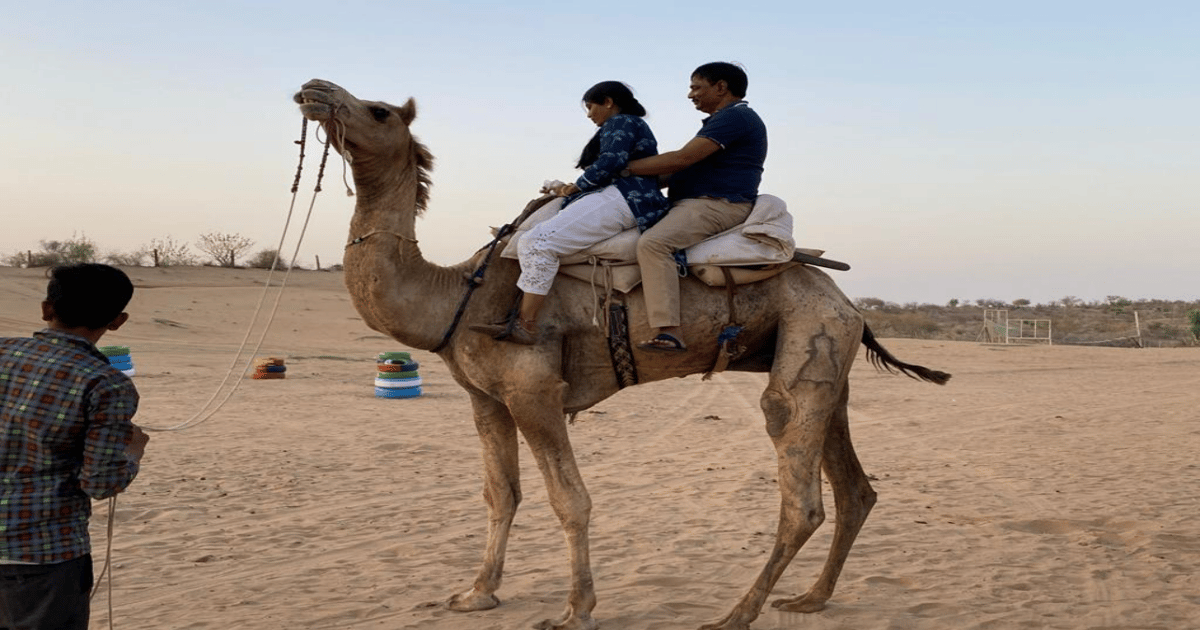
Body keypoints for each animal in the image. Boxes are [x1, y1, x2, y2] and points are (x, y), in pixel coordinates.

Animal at [294, 79, 950, 630]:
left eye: (377, 110)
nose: (313, 89)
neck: (458, 294)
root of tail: (847, 301)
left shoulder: (535, 392)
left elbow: (570, 501)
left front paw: (576, 610)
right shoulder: (486, 398)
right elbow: (501, 494)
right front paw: (477, 593)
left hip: (809, 342)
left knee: (800, 487)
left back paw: (735, 614)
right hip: (828, 363)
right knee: (854, 490)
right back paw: (810, 598)